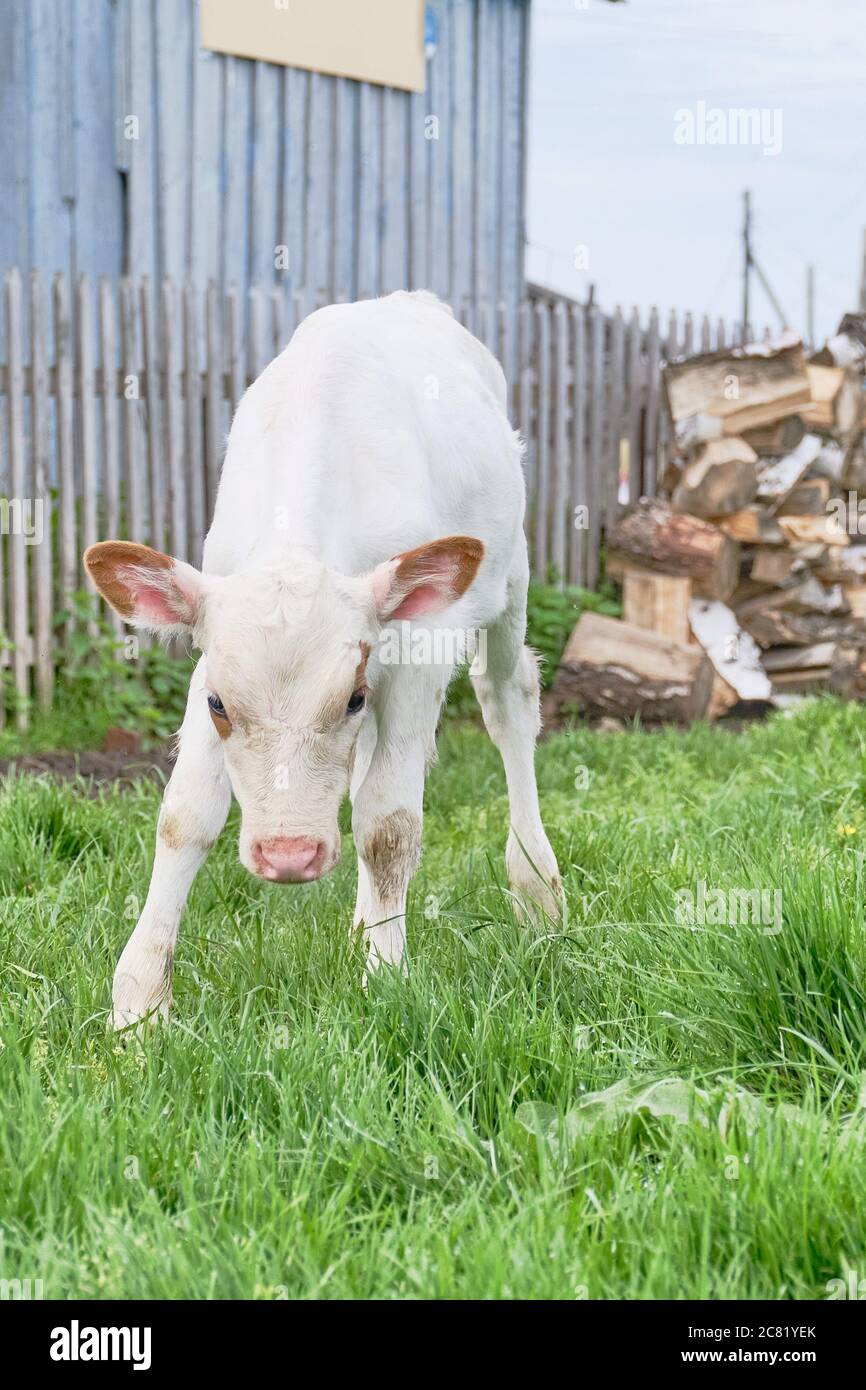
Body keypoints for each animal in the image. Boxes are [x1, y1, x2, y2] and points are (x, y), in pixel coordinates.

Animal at [84, 291, 562, 1028]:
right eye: (220, 704)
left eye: (352, 697)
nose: (289, 855)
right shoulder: (210, 655)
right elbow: (185, 816)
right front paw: (139, 1006)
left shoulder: (419, 648)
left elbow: (389, 824)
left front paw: (384, 979)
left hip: (510, 581)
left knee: (508, 703)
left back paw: (535, 888)